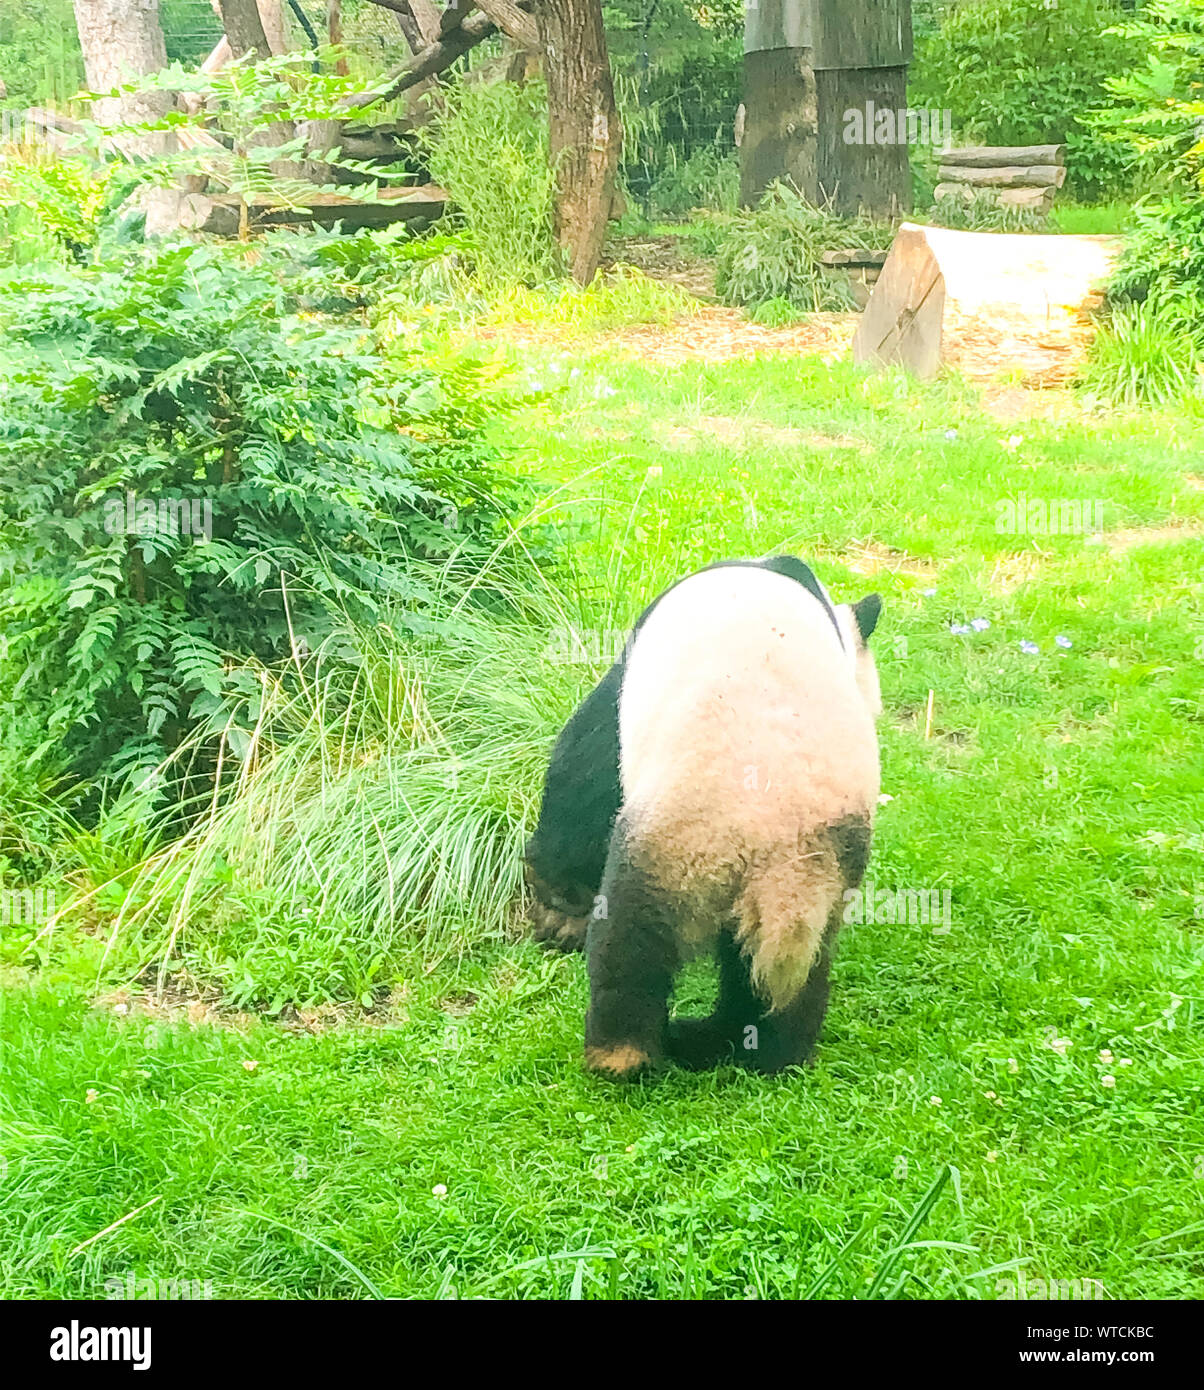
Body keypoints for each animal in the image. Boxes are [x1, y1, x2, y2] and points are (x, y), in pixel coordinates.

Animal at [524, 555, 883, 1077]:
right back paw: (747, 1047)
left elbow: (586, 772)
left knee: (631, 944)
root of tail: (782, 856)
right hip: (827, 880)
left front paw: (557, 907)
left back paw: (622, 1054)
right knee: (780, 978)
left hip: (676, 841)